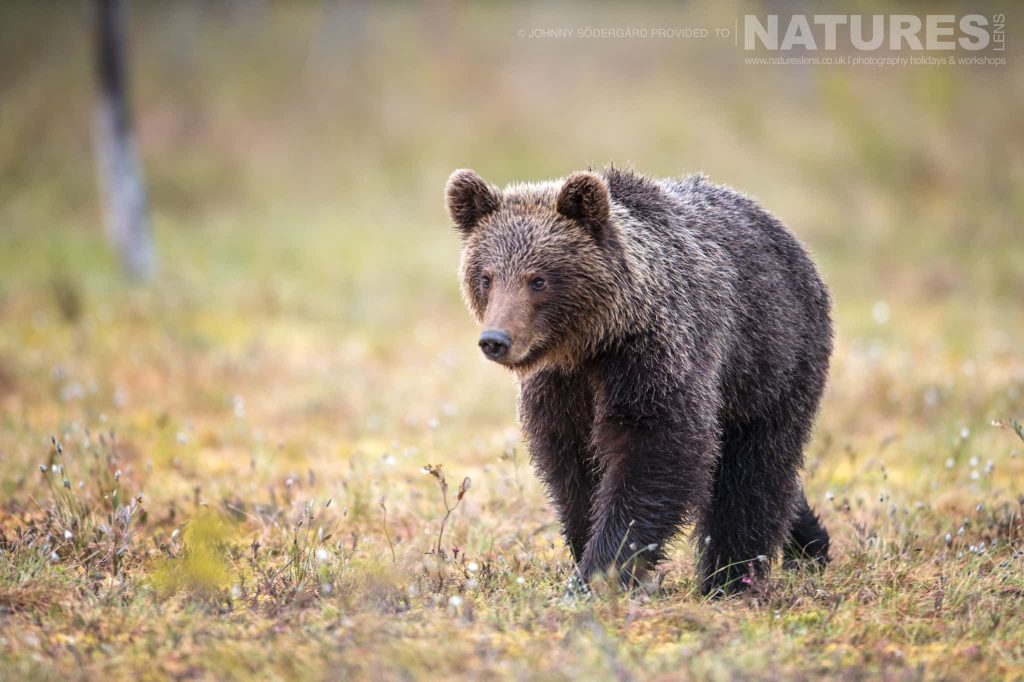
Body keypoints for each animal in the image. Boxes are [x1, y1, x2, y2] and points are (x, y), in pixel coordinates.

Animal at [445, 166, 832, 595]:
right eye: (486, 277)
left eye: (538, 279)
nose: (495, 340)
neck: (592, 344)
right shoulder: (561, 388)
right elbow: (573, 470)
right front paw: (590, 554)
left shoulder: (655, 357)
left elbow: (654, 452)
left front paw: (599, 573)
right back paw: (809, 544)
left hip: (770, 362)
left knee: (754, 472)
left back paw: (730, 577)